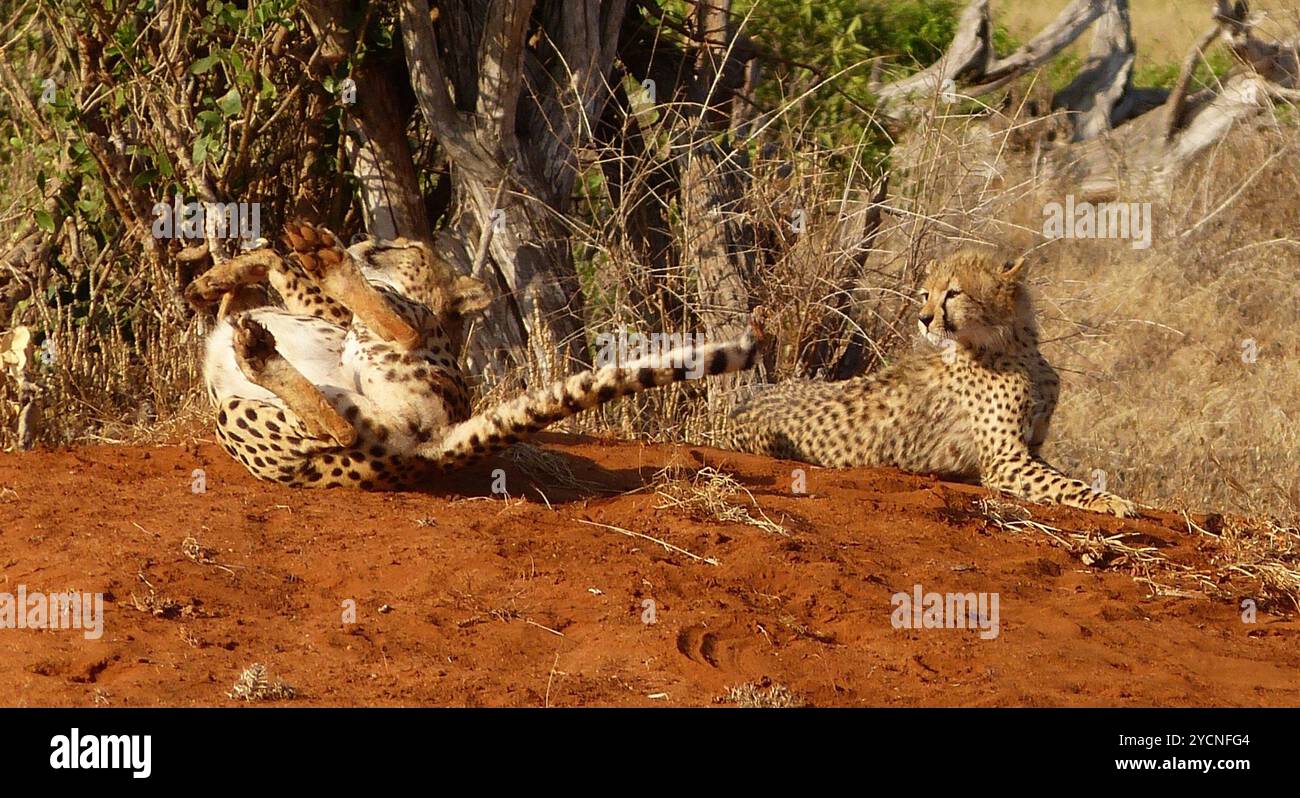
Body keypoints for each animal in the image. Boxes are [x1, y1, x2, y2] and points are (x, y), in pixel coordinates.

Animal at [186, 221, 766, 489]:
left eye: (408, 249)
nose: (367, 244)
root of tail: (424, 454)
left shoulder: (345, 313)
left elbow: (283, 267)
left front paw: (229, 277)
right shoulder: (327, 315)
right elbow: (265, 269)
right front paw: (212, 281)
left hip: (262, 407)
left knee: (356, 405)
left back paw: (275, 327)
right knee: (341, 422)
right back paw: (256, 341)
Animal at [720, 250, 1137, 517]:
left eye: (953, 293)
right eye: (926, 294)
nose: (923, 318)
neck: (1015, 347)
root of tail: (742, 408)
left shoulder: (1029, 448)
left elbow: (1065, 477)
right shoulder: (1005, 460)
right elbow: (1067, 484)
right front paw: (1112, 501)